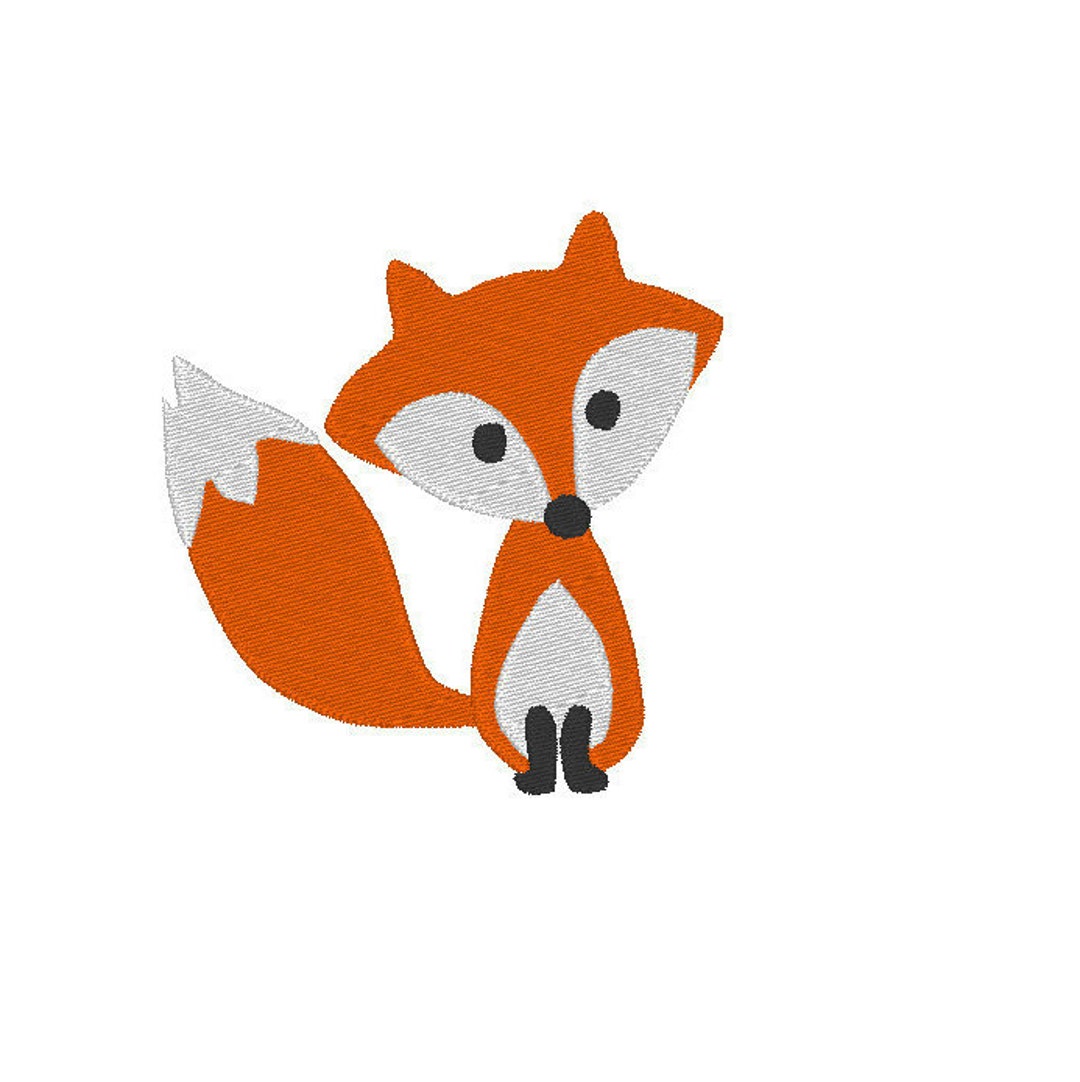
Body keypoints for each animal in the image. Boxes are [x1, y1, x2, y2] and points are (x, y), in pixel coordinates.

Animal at [164, 212, 723, 794]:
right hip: (512, 706)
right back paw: (540, 775)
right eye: (486, 442)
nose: (568, 515)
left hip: (602, 706)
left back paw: (581, 775)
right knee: (540, 731)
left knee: (577, 730)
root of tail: (473, 712)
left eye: (607, 408)